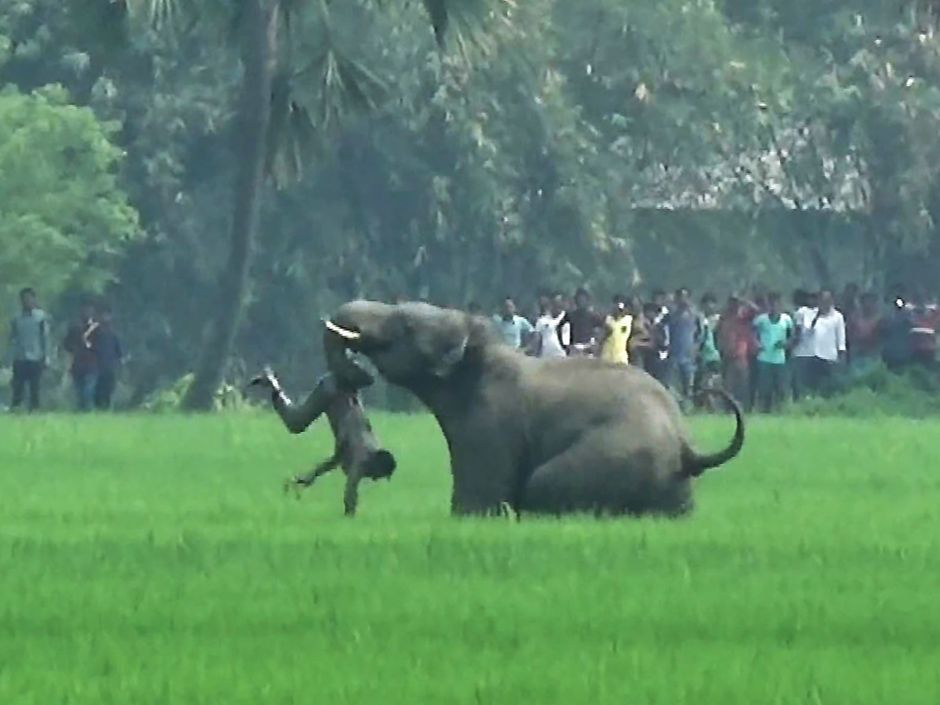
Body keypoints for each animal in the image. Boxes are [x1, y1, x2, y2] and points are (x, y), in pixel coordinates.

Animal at [323, 300, 744, 517]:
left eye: (405, 325)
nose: (357, 376)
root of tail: (688, 450)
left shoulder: (489, 424)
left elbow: (479, 500)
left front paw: (470, 515)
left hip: (615, 455)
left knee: (543, 483)